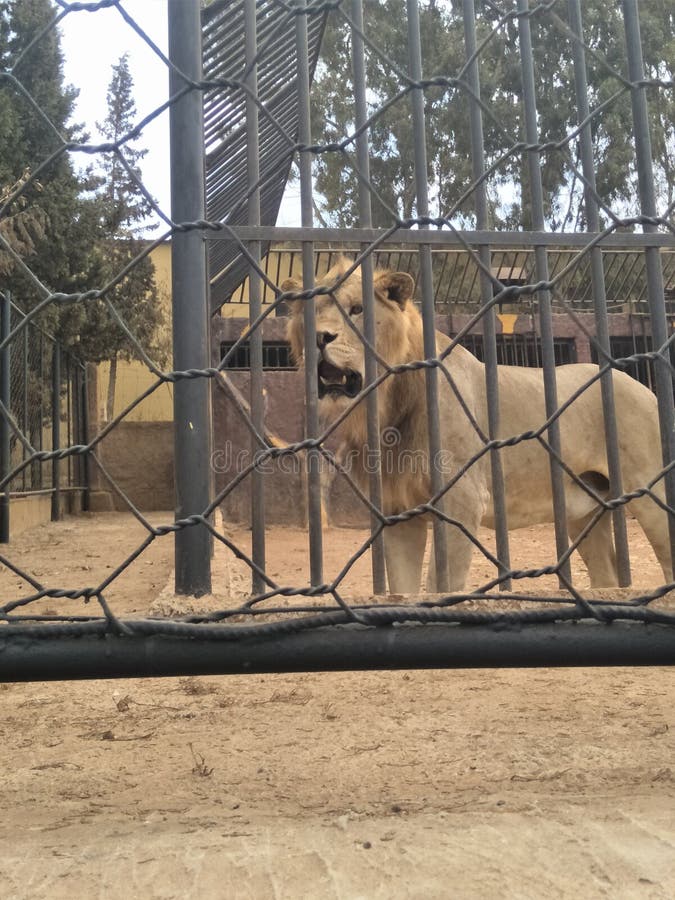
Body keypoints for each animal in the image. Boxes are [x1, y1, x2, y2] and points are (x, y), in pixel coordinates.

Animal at [282, 257, 672, 594]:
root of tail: (643, 387)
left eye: (357, 310)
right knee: (607, 575)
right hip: (583, 509)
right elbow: (404, 591)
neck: (384, 407)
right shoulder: (397, 512)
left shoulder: (462, 499)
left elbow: (442, 586)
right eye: (310, 315)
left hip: (649, 490)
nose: (319, 337)